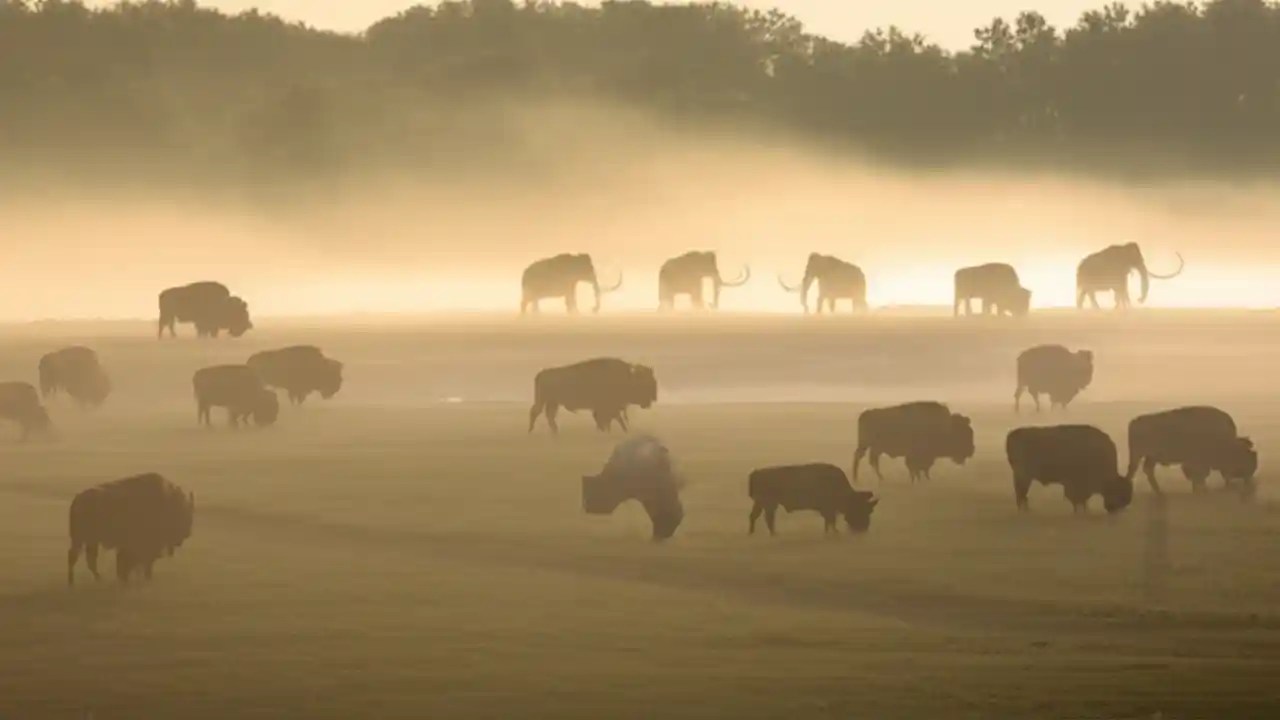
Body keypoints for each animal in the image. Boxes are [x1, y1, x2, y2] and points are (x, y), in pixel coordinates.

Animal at [748, 463, 879, 535]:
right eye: (863, 508)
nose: (863, 529)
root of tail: (756, 472)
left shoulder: (828, 510)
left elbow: (828, 521)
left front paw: (829, 532)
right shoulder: (829, 508)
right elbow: (831, 520)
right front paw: (835, 532)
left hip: (760, 503)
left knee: (754, 516)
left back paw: (753, 533)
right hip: (769, 504)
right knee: (768, 518)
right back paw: (773, 533)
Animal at [1127, 406, 1258, 495]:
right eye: (1245, 456)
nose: (1250, 474)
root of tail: (1134, 421)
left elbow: (1198, 476)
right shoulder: (1197, 461)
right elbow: (1198, 476)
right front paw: (1200, 489)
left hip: (1151, 457)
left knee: (1147, 470)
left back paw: (1159, 492)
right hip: (1138, 455)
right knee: (1135, 470)